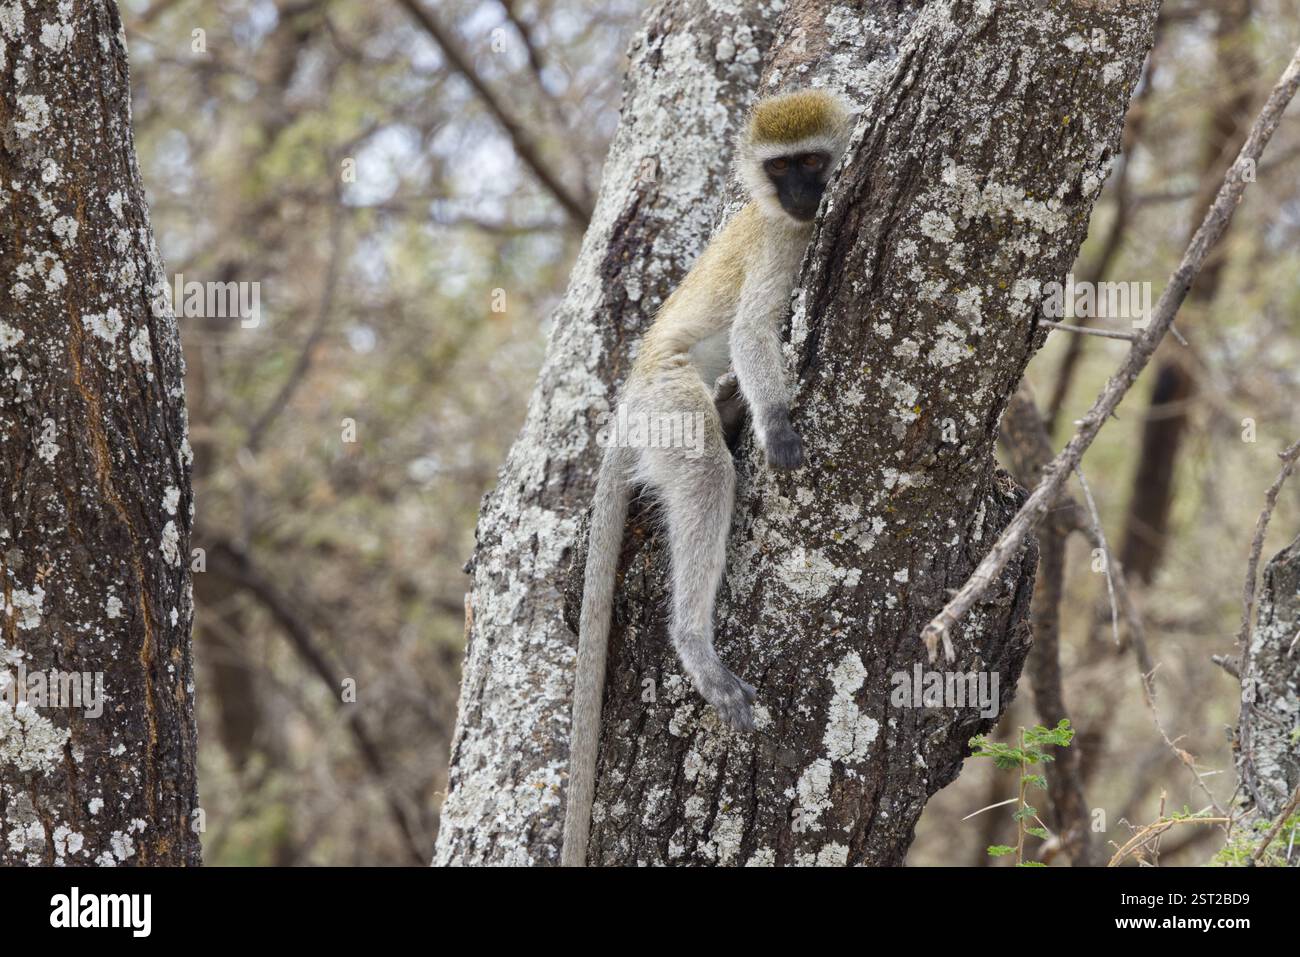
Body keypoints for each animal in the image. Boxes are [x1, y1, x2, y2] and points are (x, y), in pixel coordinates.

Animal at [561, 88, 852, 866]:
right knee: (705, 475)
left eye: (812, 162)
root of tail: (628, 397)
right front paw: (778, 423)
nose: (802, 195)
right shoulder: (780, 242)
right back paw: (692, 640)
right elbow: (754, 331)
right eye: (781, 168)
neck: (785, 217)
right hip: (666, 404)